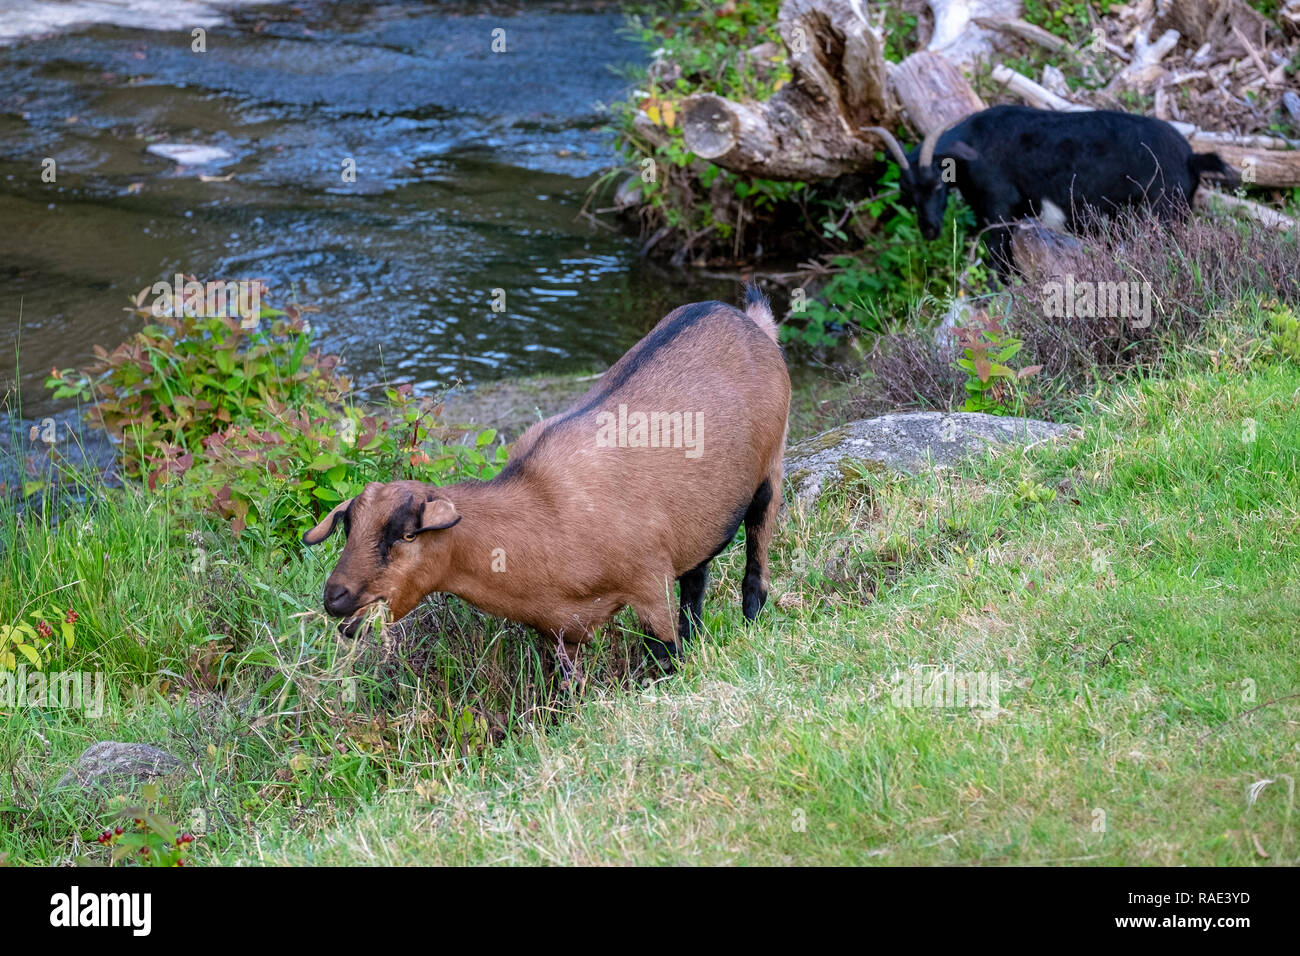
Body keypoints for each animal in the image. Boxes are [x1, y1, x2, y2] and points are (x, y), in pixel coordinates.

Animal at [303, 287, 790, 676]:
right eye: (349, 529)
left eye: (406, 535)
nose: (335, 597)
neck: (543, 509)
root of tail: (749, 320)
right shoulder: (561, 630)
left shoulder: (650, 582)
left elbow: (664, 654)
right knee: (697, 576)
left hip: (771, 467)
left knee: (757, 554)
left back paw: (750, 622)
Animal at [864, 105, 1234, 278]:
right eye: (906, 191)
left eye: (938, 183)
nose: (929, 230)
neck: (973, 147)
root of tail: (1191, 157)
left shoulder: (999, 211)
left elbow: (999, 265)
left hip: (1161, 213)